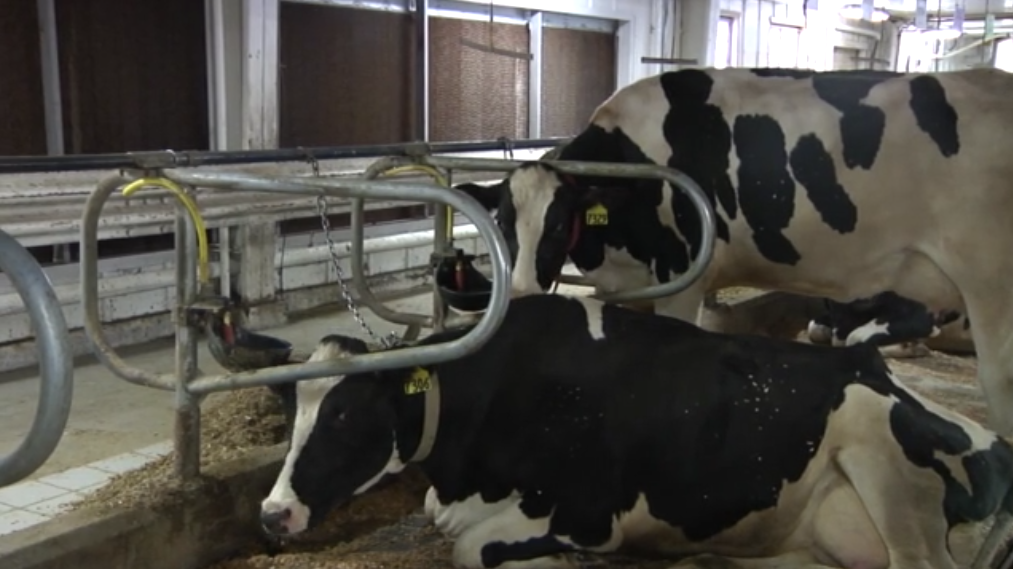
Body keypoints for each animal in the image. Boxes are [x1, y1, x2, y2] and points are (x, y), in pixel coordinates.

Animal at [258, 294, 1013, 569]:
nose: (272, 513)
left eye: (345, 414)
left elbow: (475, 551)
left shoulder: (589, 516)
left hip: (885, 468)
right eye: (293, 413)